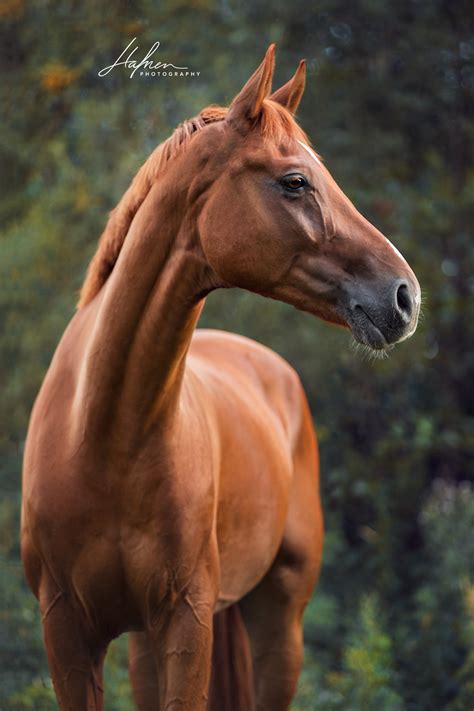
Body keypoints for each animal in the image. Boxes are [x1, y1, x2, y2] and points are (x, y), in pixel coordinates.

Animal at [21, 45, 420, 711]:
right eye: (295, 181)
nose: (405, 296)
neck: (100, 438)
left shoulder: (187, 619)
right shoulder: (67, 629)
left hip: (278, 626)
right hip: (142, 642)